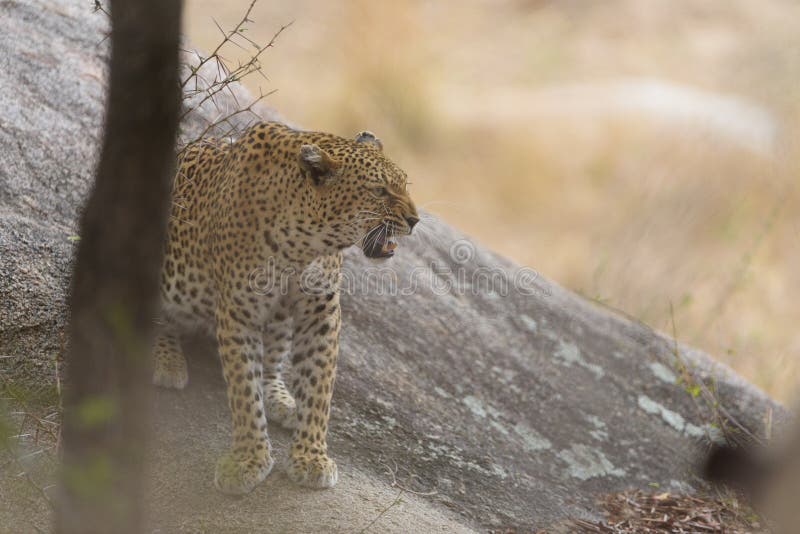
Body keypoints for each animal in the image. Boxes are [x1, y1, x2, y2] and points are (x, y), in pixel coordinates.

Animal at [152, 121, 418, 494]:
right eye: (379, 191)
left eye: (405, 184)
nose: (415, 220)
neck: (303, 244)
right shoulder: (238, 311)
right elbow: (243, 390)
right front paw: (248, 460)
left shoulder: (321, 312)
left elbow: (319, 386)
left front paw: (311, 456)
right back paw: (166, 360)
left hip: (278, 321)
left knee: (272, 363)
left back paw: (282, 400)